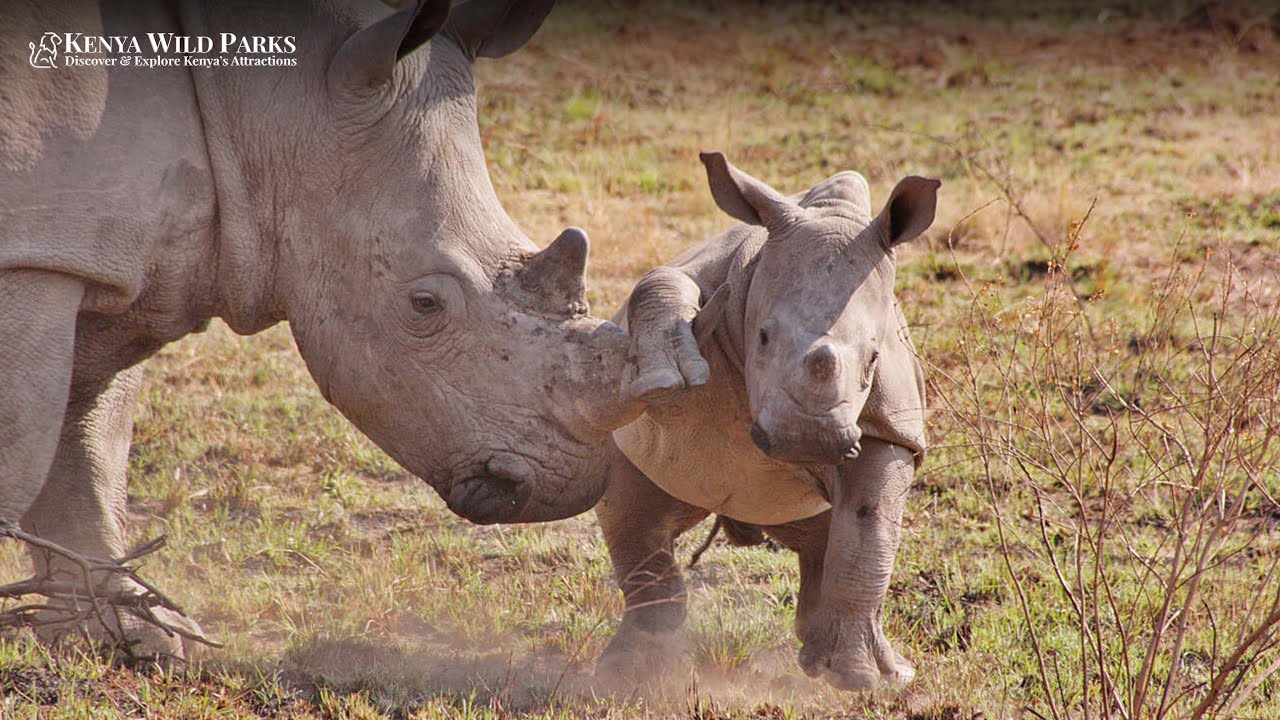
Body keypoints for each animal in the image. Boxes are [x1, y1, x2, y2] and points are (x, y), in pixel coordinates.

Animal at [0, 0, 641, 655]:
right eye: (425, 304)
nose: (570, 485)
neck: (260, 108)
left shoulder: (112, 258)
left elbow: (87, 441)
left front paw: (134, 637)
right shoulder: (37, 249)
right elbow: (25, 446)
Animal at [596, 152, 938, 691]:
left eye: (873, 358)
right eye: (762, 337)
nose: (808, 438)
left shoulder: (891, 431)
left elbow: (870, 529)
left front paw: (861, 681)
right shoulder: (702, 277)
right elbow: (658, 282)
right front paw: (667, 377)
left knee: (826, 536)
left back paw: (862, 670)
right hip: (635, 452)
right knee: (633, 511)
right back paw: (628, 675)